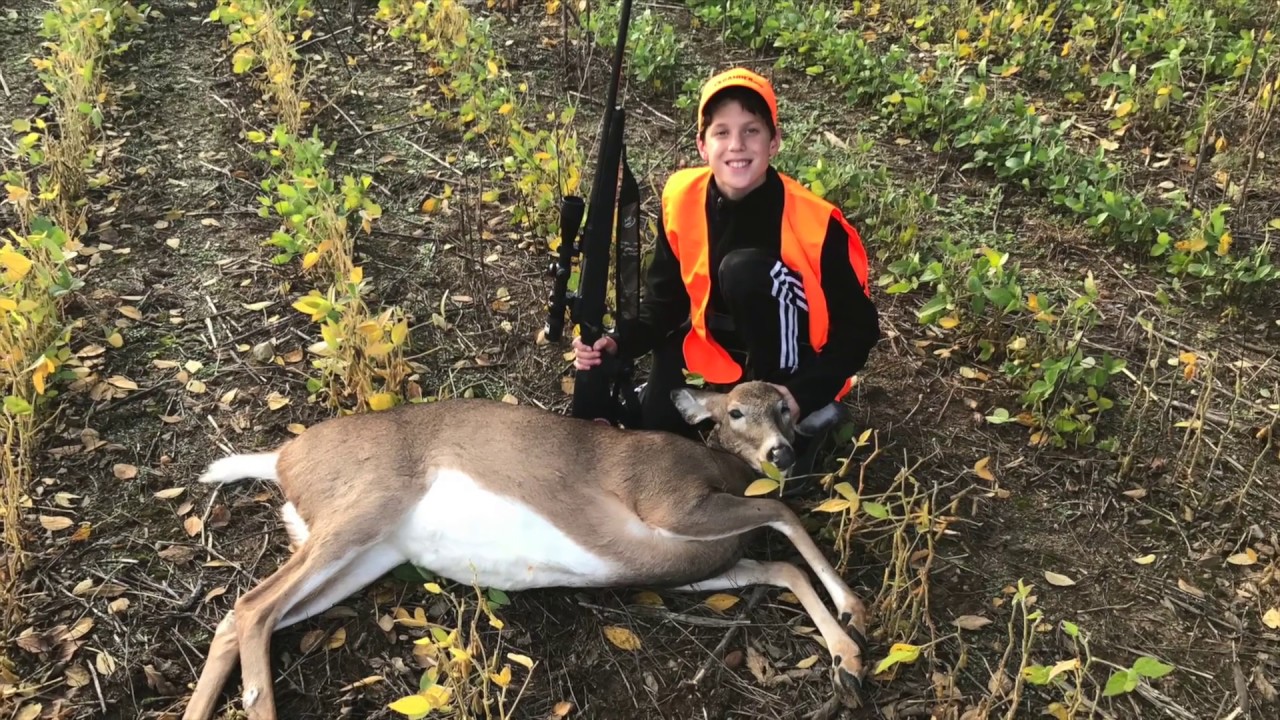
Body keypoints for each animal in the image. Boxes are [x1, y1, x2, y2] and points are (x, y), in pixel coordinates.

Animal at [179, 381, 872, 720]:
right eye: (735, 413)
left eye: (786, 408)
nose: (783, 451)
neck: (721, 470)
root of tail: (280, 459)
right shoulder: (667, 503)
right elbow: (785, 515)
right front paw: (856, 612)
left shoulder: (693, 566)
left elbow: (779, 564)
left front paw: (847, 654)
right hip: (363, 506)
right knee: (254, 606)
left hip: (366, 553)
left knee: (241, 616)